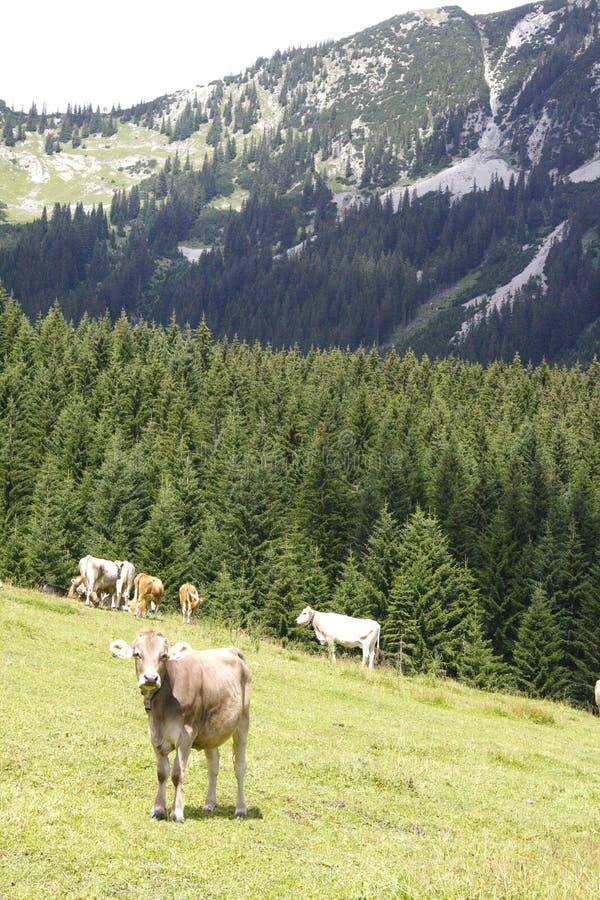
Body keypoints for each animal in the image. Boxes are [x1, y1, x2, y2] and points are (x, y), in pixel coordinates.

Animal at [109, 630, 251, 823]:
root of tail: (231, 650)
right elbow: (162, 773)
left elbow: (177, 773)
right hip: (211, 730)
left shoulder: (186, 735)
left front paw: (177, 812)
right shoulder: (154, 735)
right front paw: (158, 809)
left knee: (240, 766)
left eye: (164, 656)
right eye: (137, 654)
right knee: (213, 765)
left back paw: (241, 809)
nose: (151, 678)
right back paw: (209, 804)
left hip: (243, 722)